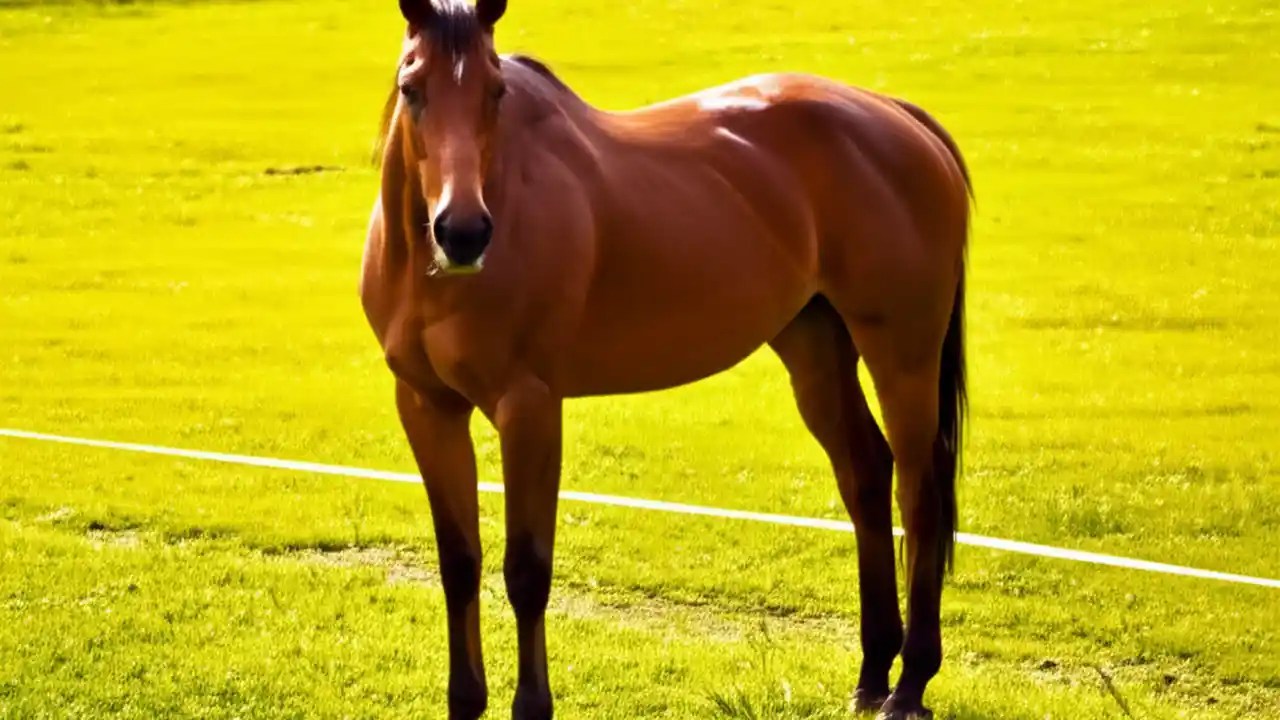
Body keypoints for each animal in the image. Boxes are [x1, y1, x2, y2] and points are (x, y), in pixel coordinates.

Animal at [360, 1, 971, 717]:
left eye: (496, 91)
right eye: (412, 87)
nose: (462, 232)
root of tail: (900, 118)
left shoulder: (529, 407)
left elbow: (527, 568)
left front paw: (532, 704)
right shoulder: (427, 406)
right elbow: (460, 562)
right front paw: (466, 700)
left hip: (902, 355)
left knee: (919, 492)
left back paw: (910, 683)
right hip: (815, 351)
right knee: (867, 475)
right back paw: (873, 674)